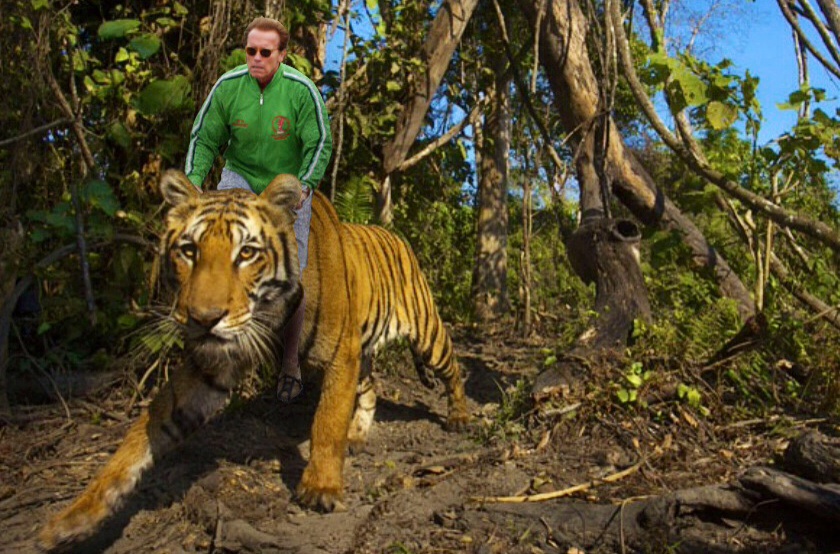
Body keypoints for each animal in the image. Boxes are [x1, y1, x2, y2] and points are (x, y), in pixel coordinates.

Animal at [38, 169, 470, 550]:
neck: (267, 313)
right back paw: (359, 436)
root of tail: (396, 236)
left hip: (425, 333)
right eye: (189, 251)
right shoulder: (214, 364)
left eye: (246, 253)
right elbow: (145, 431)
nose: (203, 319)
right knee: (371, 388)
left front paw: (321, 488)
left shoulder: (339, 354)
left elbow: (327, 421)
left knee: (453, 368)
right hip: (364, 352)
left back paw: (460, 418)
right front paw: (74, 518)